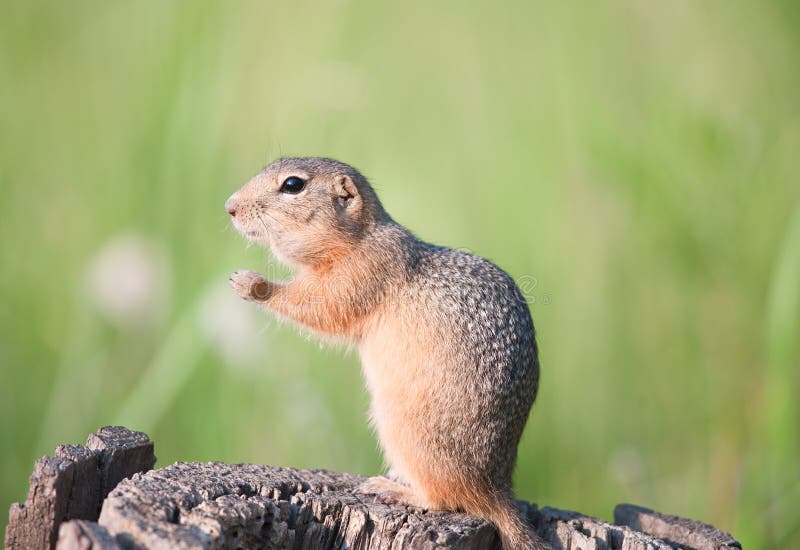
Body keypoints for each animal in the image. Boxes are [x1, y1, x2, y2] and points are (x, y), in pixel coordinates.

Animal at [226, 157, 543, 549]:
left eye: (293, 185)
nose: (230, 207)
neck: (358, 239)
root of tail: (497, 489)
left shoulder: (357, 277)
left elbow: (319, 307)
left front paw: (252, 284)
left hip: (404, 429)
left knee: (447, 500)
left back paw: (393, 489)